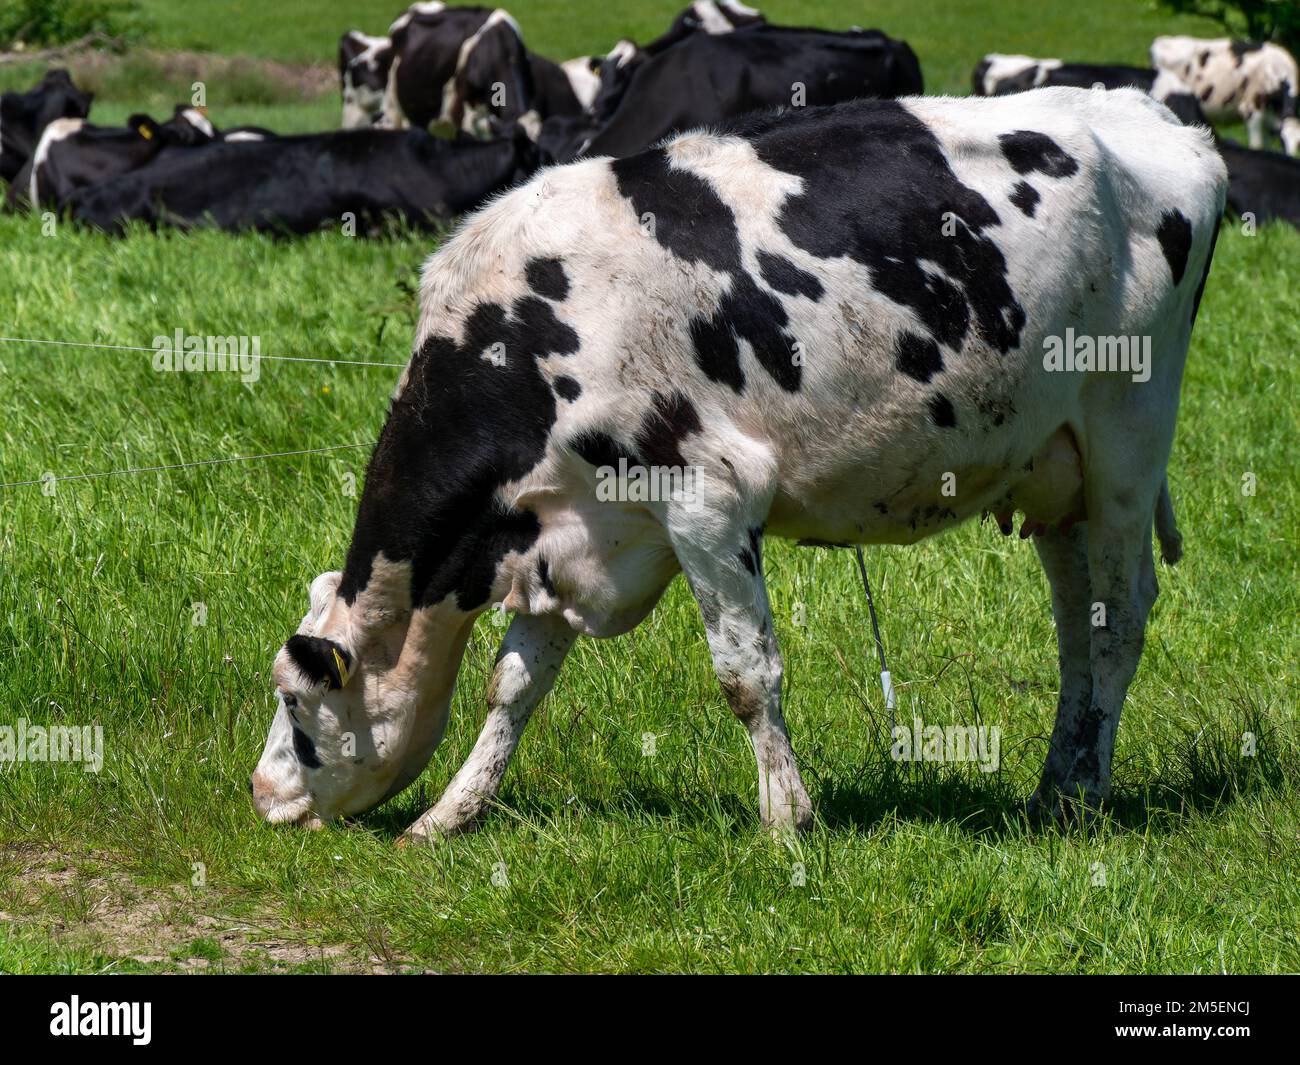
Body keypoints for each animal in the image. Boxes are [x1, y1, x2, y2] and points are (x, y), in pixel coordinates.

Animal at [249, 88, 1226, 842]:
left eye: (295, 707)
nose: (260, 794)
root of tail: (1147, 112)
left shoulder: (706, 497)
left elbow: (746, 675)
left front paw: (787, 821)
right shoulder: (566, 531)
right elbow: (512, 687)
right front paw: (449, 816)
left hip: (1127, 444)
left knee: (1117, 619)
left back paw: (1083, 798)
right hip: (1054, 469)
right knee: (1076, 626)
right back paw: (1057, 785)